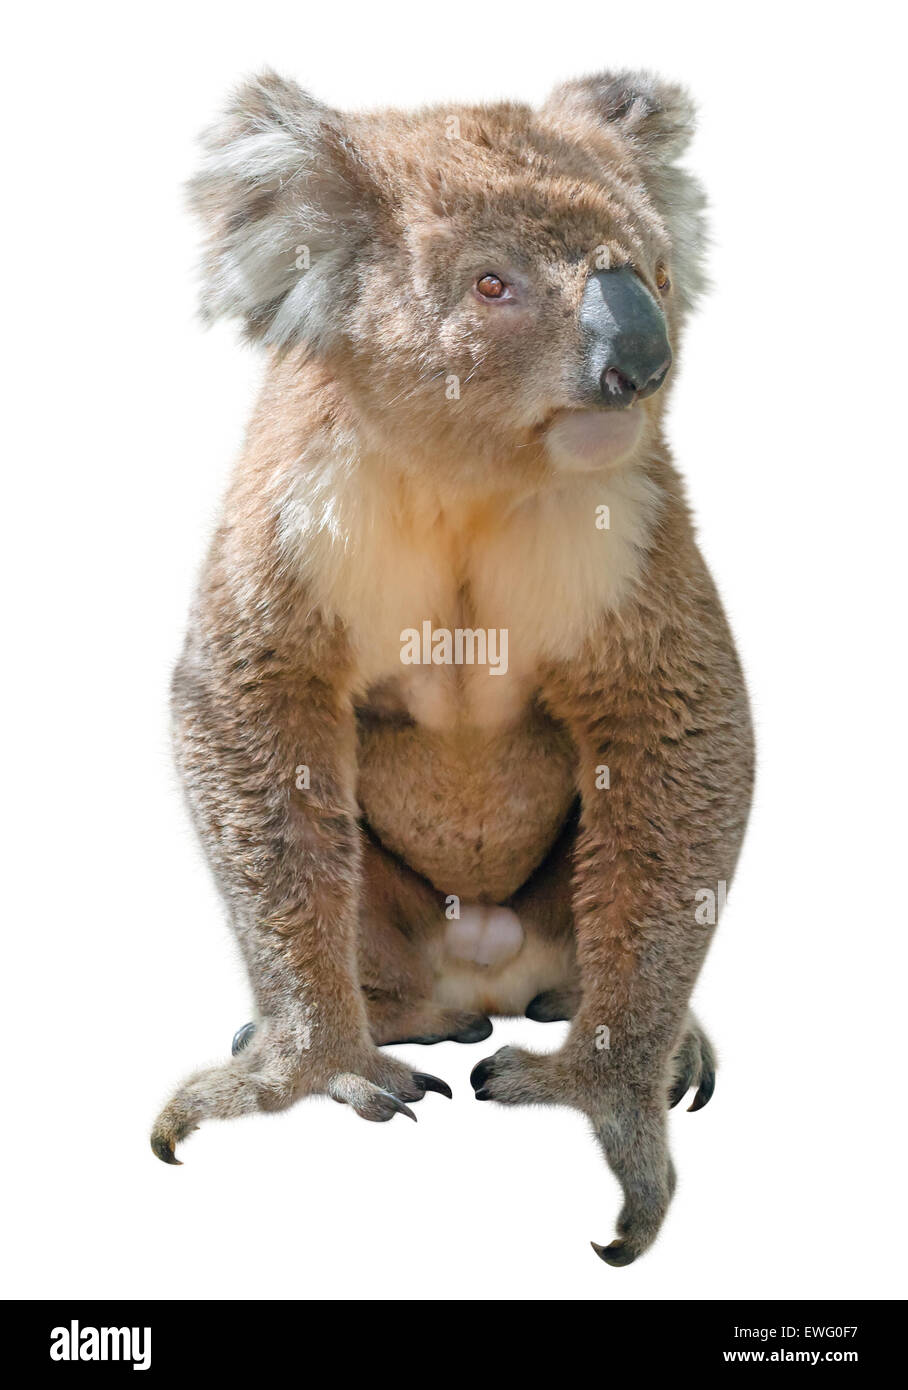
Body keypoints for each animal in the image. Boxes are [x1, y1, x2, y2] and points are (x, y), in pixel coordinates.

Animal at [151, 68, 754, 1266]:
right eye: (492, 284)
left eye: (660, 273)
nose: (639, 364)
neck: (468, 477)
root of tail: (488, 962)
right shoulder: (299, 503)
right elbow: (251, 715)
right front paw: (306, 1070)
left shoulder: (632, 521)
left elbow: (680, 729)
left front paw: (610, 1095)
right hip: (390, 913)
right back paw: (395, 1022)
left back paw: (658, 1038)